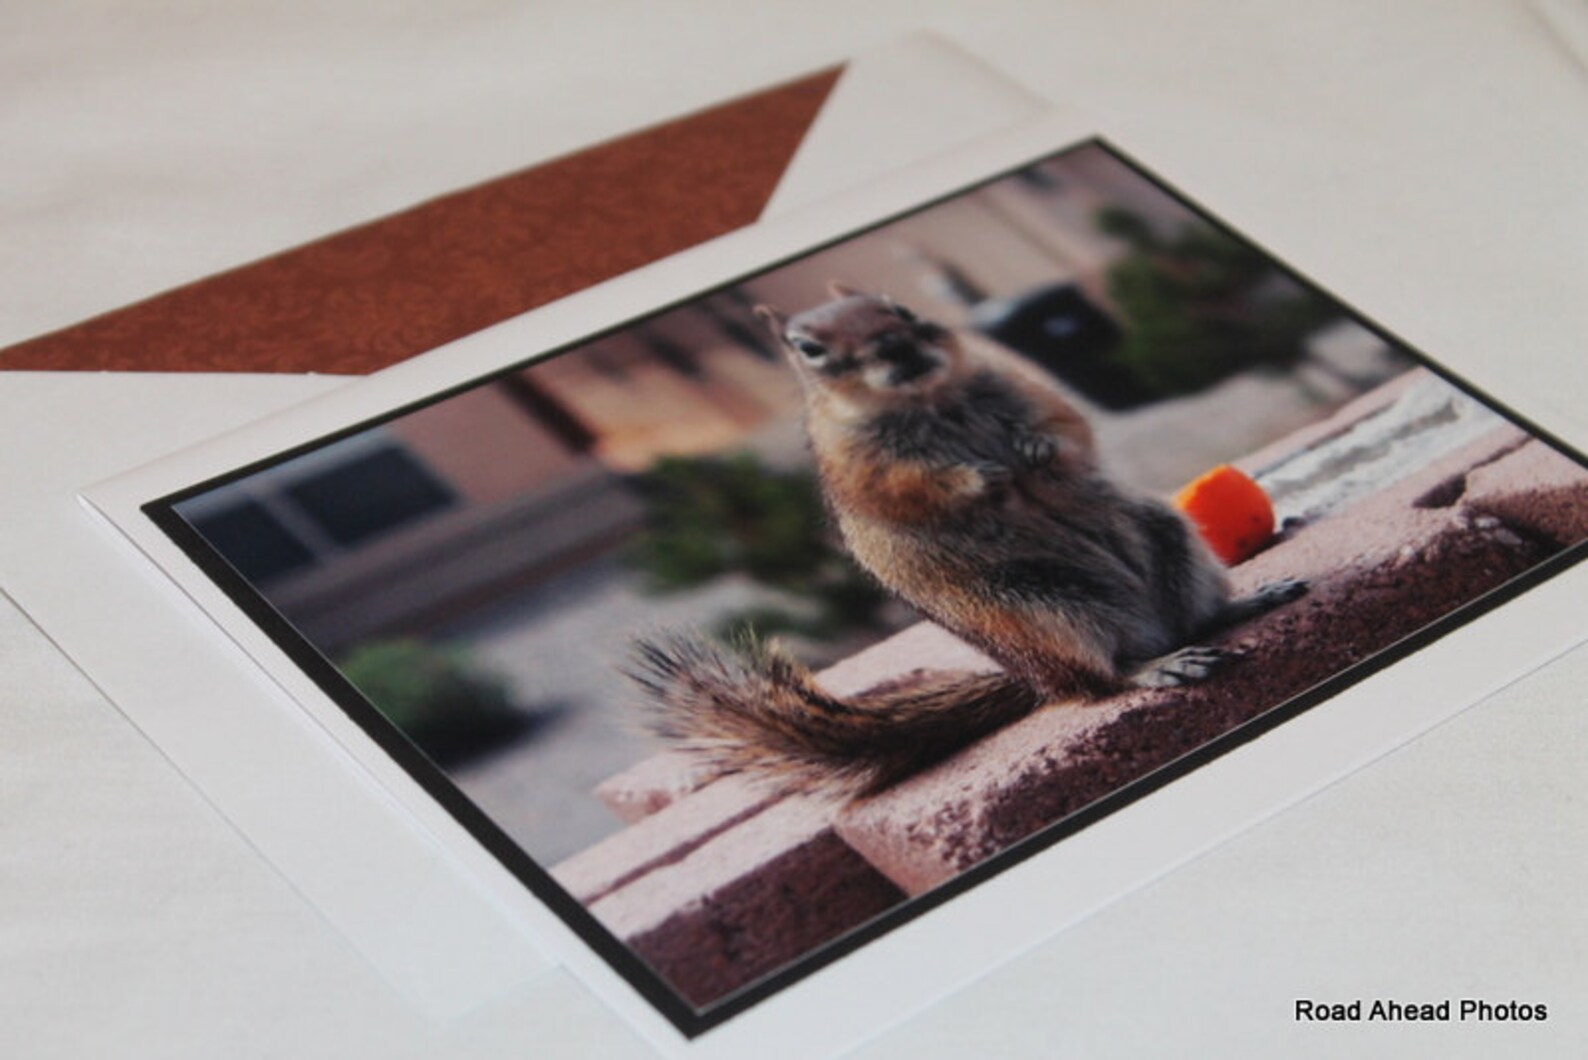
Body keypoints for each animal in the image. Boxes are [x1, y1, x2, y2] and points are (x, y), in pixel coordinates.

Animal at [629, 284, 1307, 795]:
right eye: (810, 348)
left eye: (898, 308)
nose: (896, 345)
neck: (930, 399)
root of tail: (1036, 679)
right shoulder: (863, 470)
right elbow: (915, 488)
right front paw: (978, 478)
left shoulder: (1022, 387)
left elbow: (1066, 425)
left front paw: (1035, 450)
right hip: (1047, 605)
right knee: (1100, 683)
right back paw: (1154, 666)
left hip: (1169, 538)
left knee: (1192, 618)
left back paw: (1243, 605)